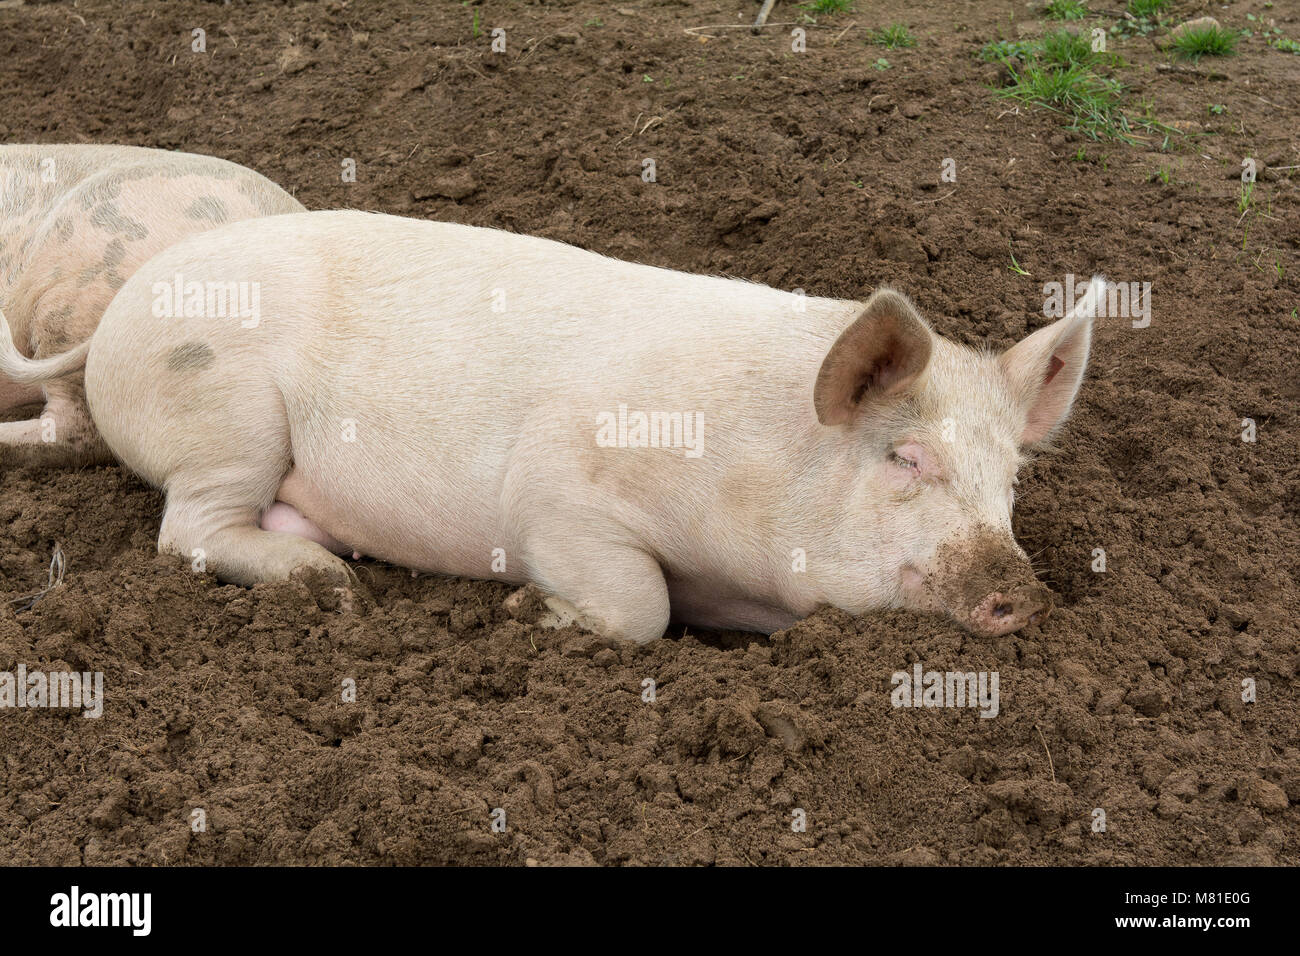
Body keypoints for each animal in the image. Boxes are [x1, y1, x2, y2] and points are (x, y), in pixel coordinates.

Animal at [1, 210, 1102, 642]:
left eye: (1009, 480)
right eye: (906, 457)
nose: (1019, 589)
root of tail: (124, 305)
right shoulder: (560, 498)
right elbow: (642, 604)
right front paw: (530, 613)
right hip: (224, 415)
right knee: (185, 530)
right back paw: (331, 590)